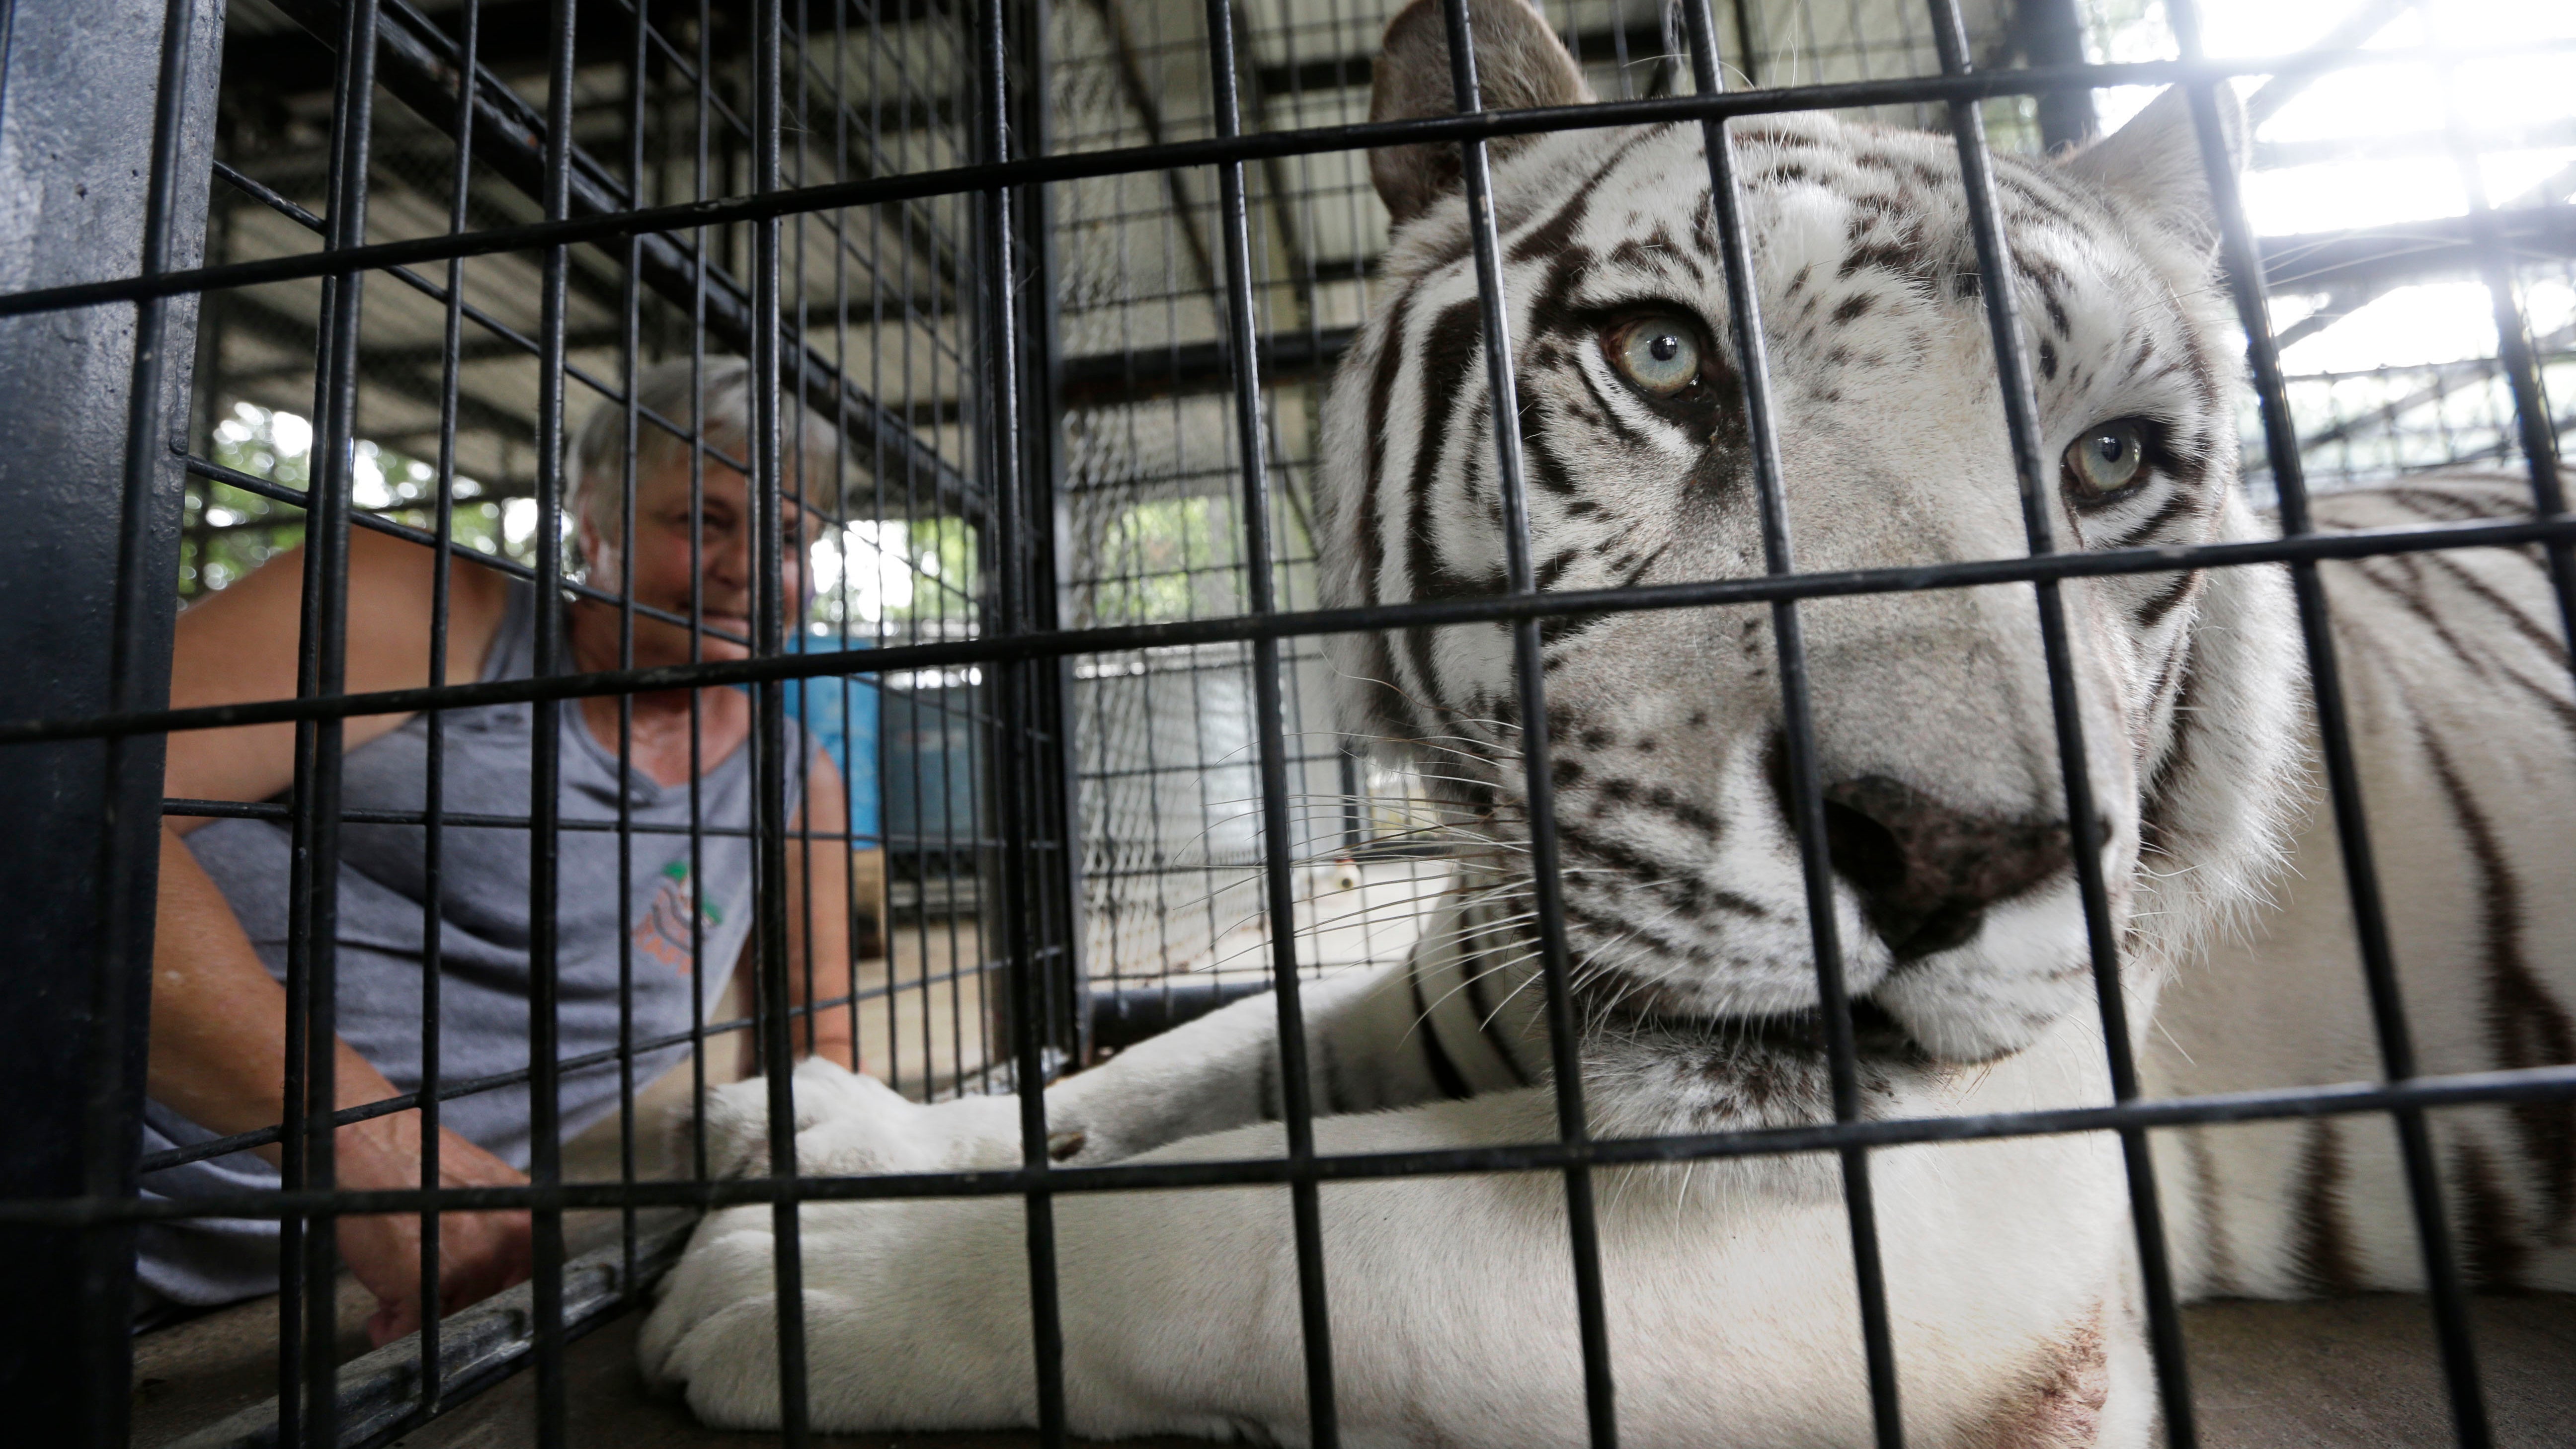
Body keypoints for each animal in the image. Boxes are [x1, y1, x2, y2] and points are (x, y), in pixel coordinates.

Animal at [637, 0, 2576, 1442]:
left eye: (2108, 463)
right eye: (1661, 359)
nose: (1952, 848)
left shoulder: (1951, 1223)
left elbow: (1271, 1218)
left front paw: (805, 1283)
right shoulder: (1443, 978)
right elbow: (1181, 1063)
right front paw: (839, 1132)